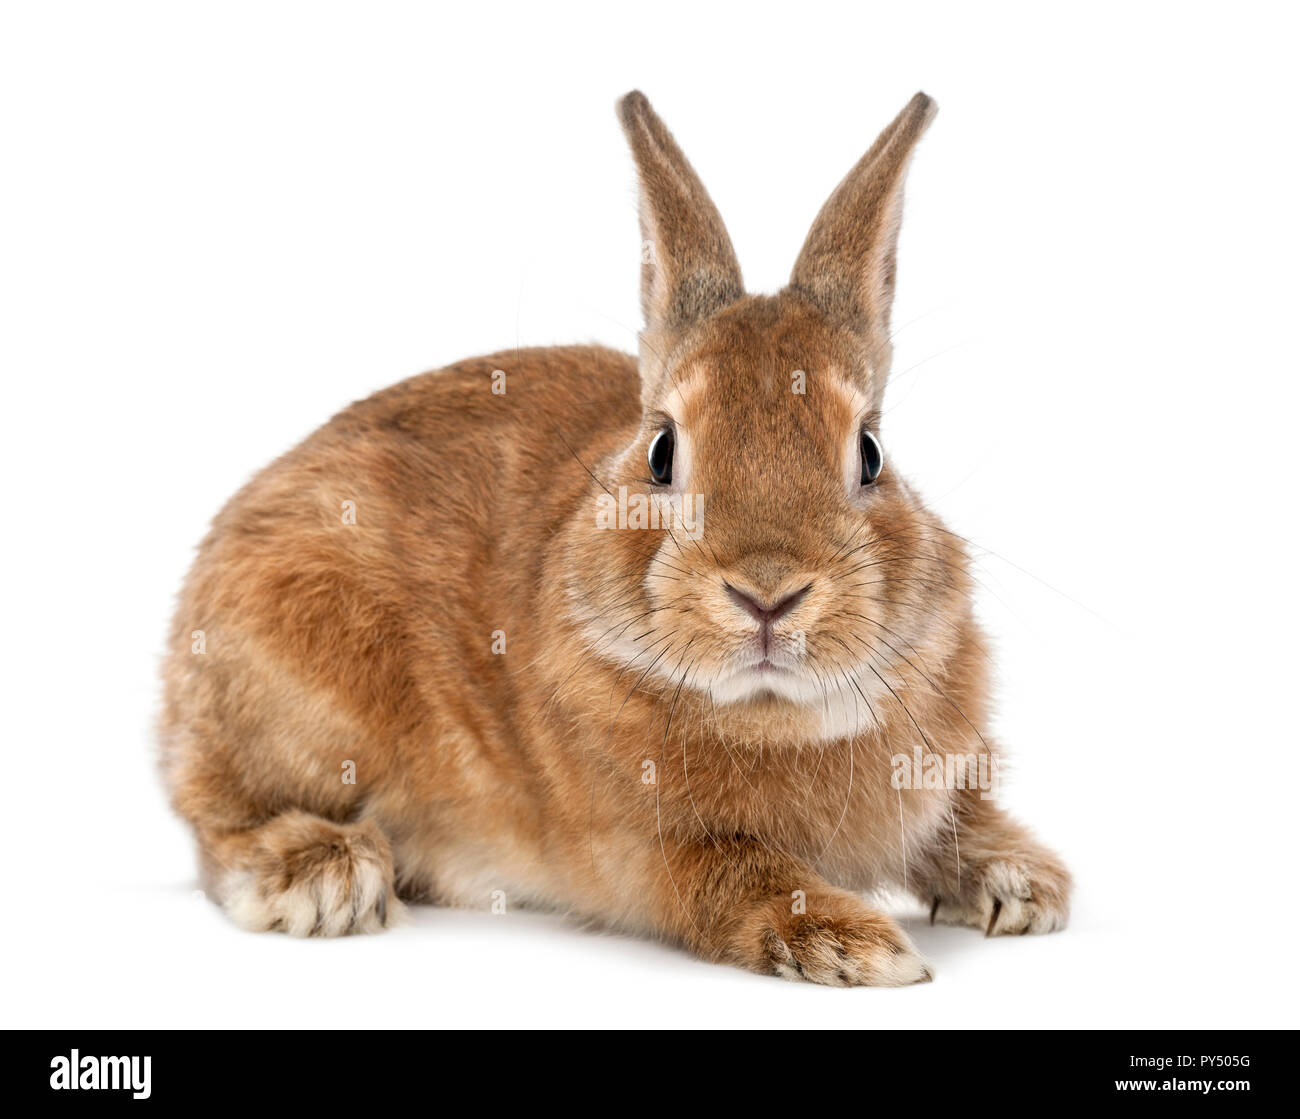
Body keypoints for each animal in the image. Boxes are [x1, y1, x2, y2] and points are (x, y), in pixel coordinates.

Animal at [159, 90, 1070, 985]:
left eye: (871, 454)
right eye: (662, 450)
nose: (767, 592)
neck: (772, 714)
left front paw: (1026, 885)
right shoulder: (648, 850)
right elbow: (737, 877)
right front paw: (860, 945)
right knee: (216, 822)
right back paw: (325, 876)